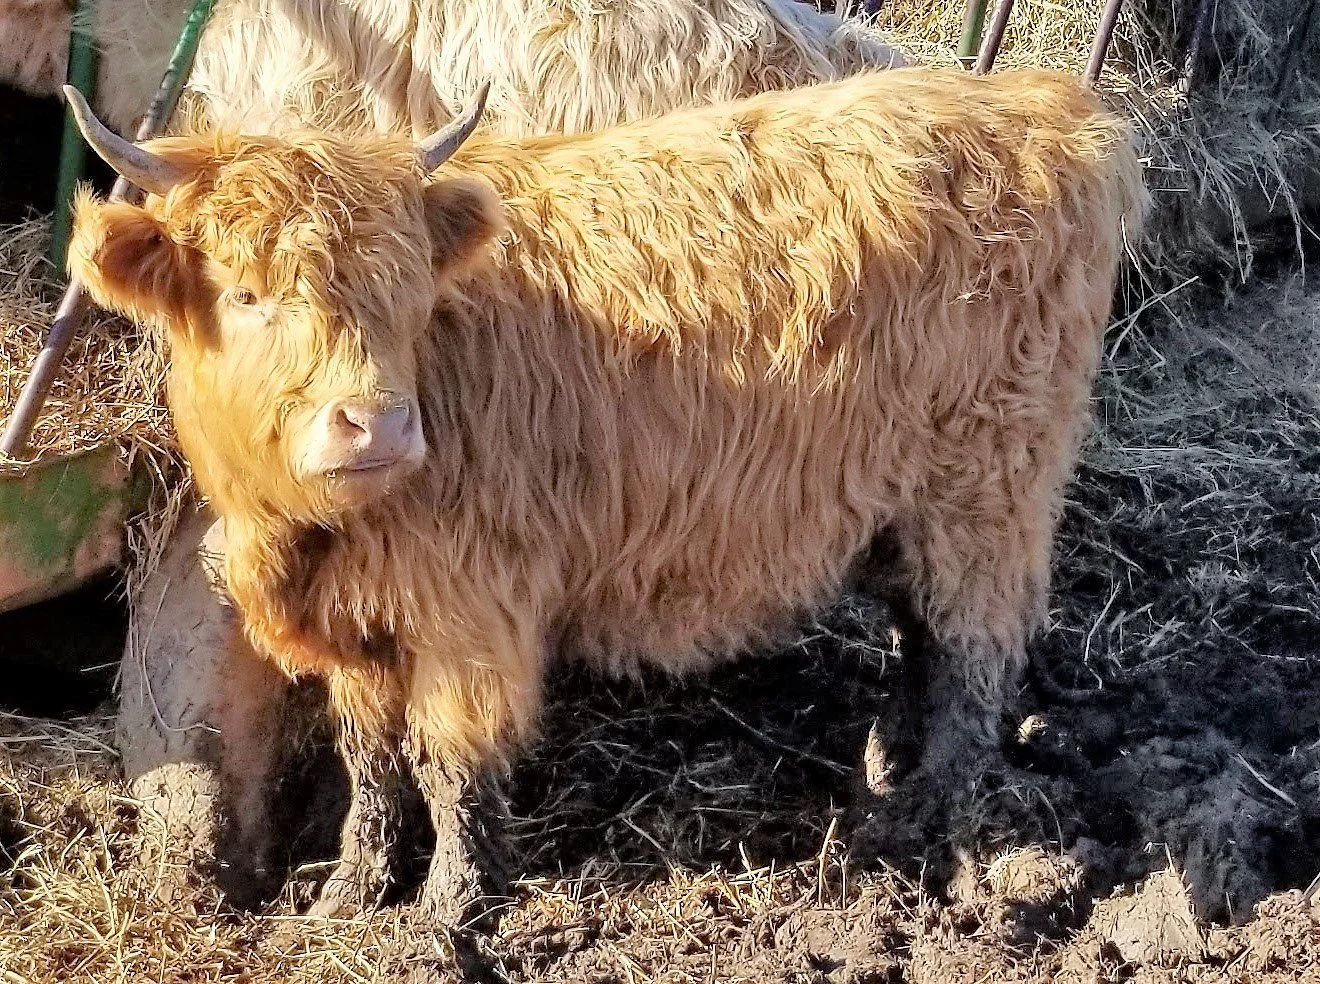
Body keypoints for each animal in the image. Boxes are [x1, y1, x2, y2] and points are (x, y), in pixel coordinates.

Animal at [66, 65, 1145, 925]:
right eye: (245, 293)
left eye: (407, 292)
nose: (377, 424)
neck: (321, 534)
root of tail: (1038, 103)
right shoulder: (361, 624)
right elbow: (371, 759)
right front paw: (347, 894)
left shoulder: (472, 608)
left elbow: (450, 761)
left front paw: (448, 908)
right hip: (913, 502)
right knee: (922, 630)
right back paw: (890, 768)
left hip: (990, 486)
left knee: (974, 650)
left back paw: (930, 816)